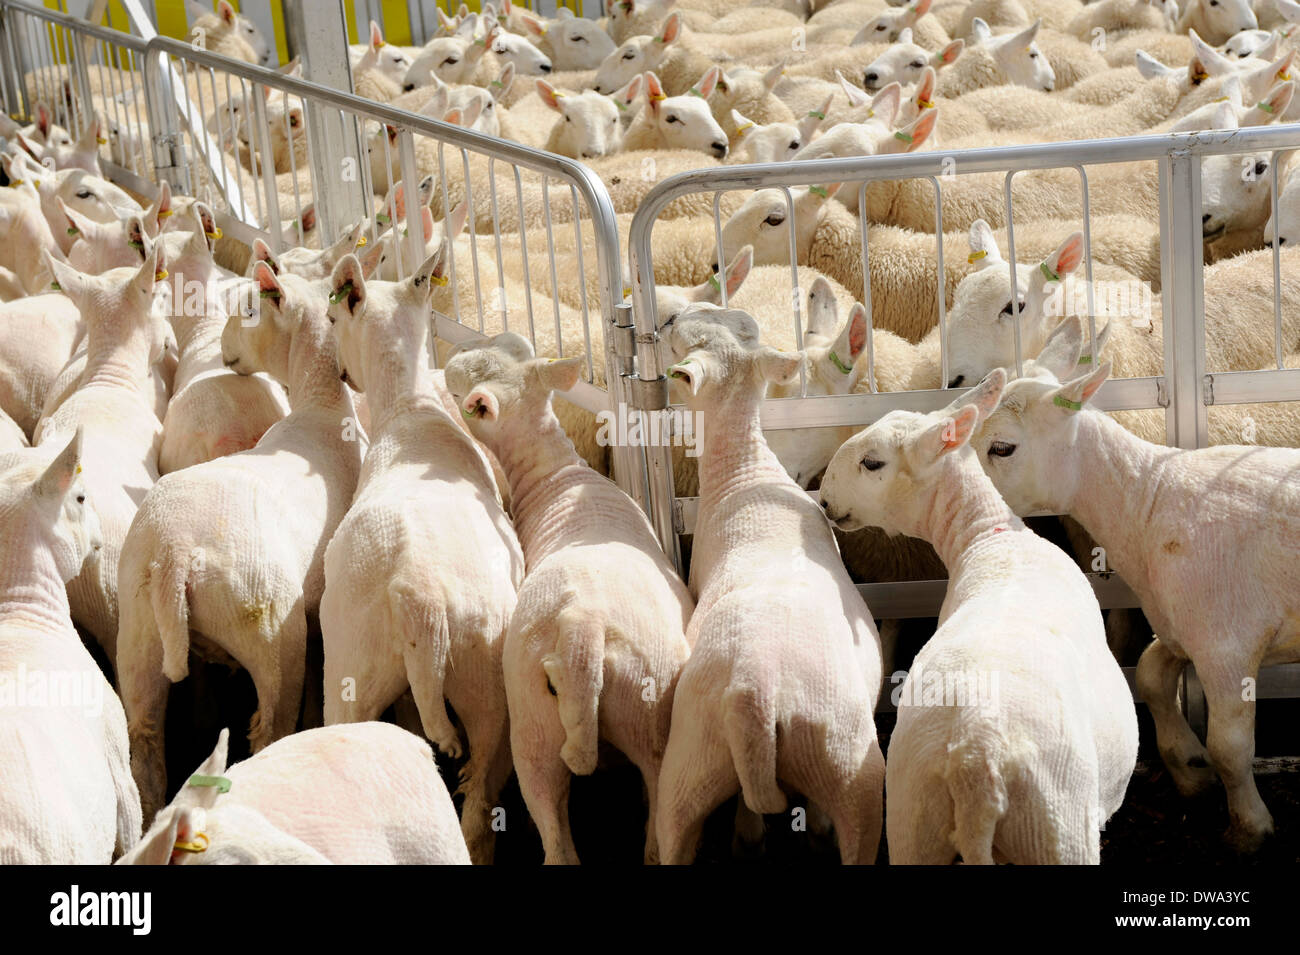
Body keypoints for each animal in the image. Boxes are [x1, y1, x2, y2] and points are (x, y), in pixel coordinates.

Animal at [116, 264, 363, 825]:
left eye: (250, 310)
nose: (226, 349)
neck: (319, 410)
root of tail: (175, 555)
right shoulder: (312, 614)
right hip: (270, 630)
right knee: (268, 727)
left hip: (138, 632)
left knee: (145, 743)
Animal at [445, 333, 694, 865]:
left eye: (466, 384)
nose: (447, 360)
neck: (554, 474)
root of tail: (584, 633)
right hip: (635, 714)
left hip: (539, 721)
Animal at [818, 369, 1138, 864]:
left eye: (872, 463)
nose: (823, 499)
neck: (989, 535)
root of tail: (975, 768)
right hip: (1055, 831)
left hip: (913, 820)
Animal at [970, 358, 1298, 852]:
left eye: (1002, 447)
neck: (1147, 502)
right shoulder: (1179, 628)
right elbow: (1148, 676)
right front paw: (1190, 769)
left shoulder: (1225, 645)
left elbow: (1230, 747)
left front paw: (1248, 828)